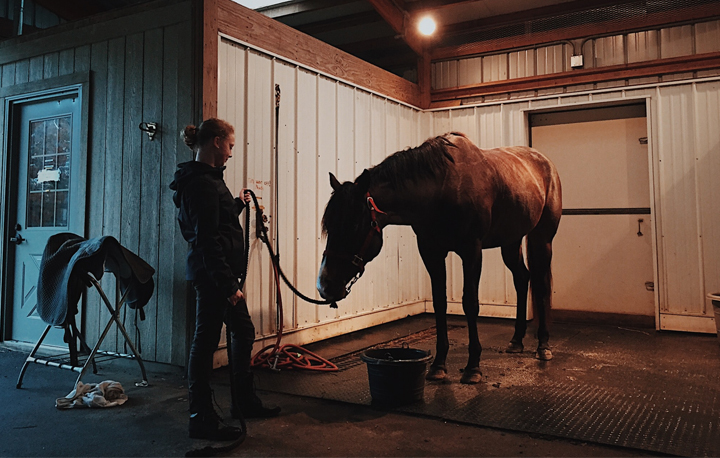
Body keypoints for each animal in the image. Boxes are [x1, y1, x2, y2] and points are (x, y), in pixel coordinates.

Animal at [316, 132, 562, 384]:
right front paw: (438, 365)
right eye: (329, 226)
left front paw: (473, 367)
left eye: (355, 225)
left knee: (541, 284)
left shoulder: (471, 250)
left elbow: (470, 303)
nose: (324, 285)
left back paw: (543, 346)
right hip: (511, 242)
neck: (442, 189)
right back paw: (516, 340)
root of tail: (545, 163)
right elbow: (439, 302)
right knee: (522, 279)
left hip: (542, 239)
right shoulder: (431, 252)